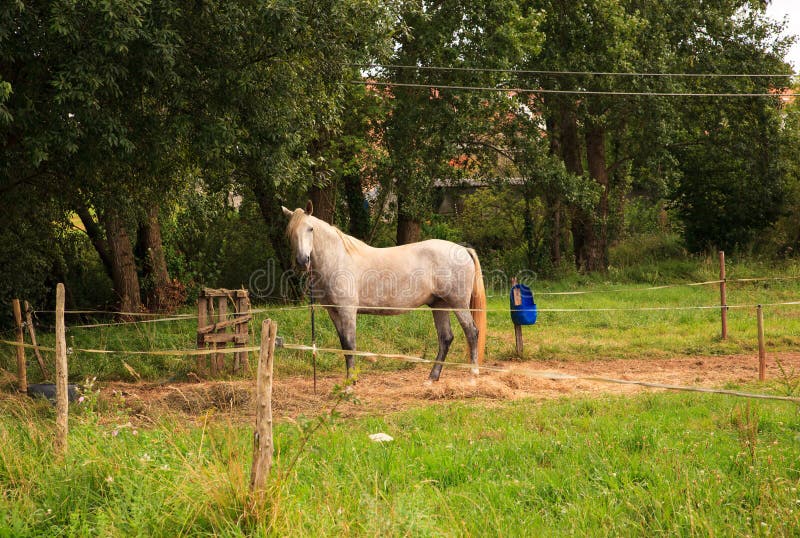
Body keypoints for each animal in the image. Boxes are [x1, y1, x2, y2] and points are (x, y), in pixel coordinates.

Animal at [282, 202, 486, 381]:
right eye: (290, 232)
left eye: (310, 229)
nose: (302, 261)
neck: (338, 259)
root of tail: (463, 250)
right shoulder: (334, 312)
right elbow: (344, 346)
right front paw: (349, 382)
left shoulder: (348, 310)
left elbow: (350, 344)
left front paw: (350, 385)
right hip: (439, 304)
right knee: (446, 338)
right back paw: (432, 378)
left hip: (458, 304)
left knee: (471, 332)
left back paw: (473, 375)